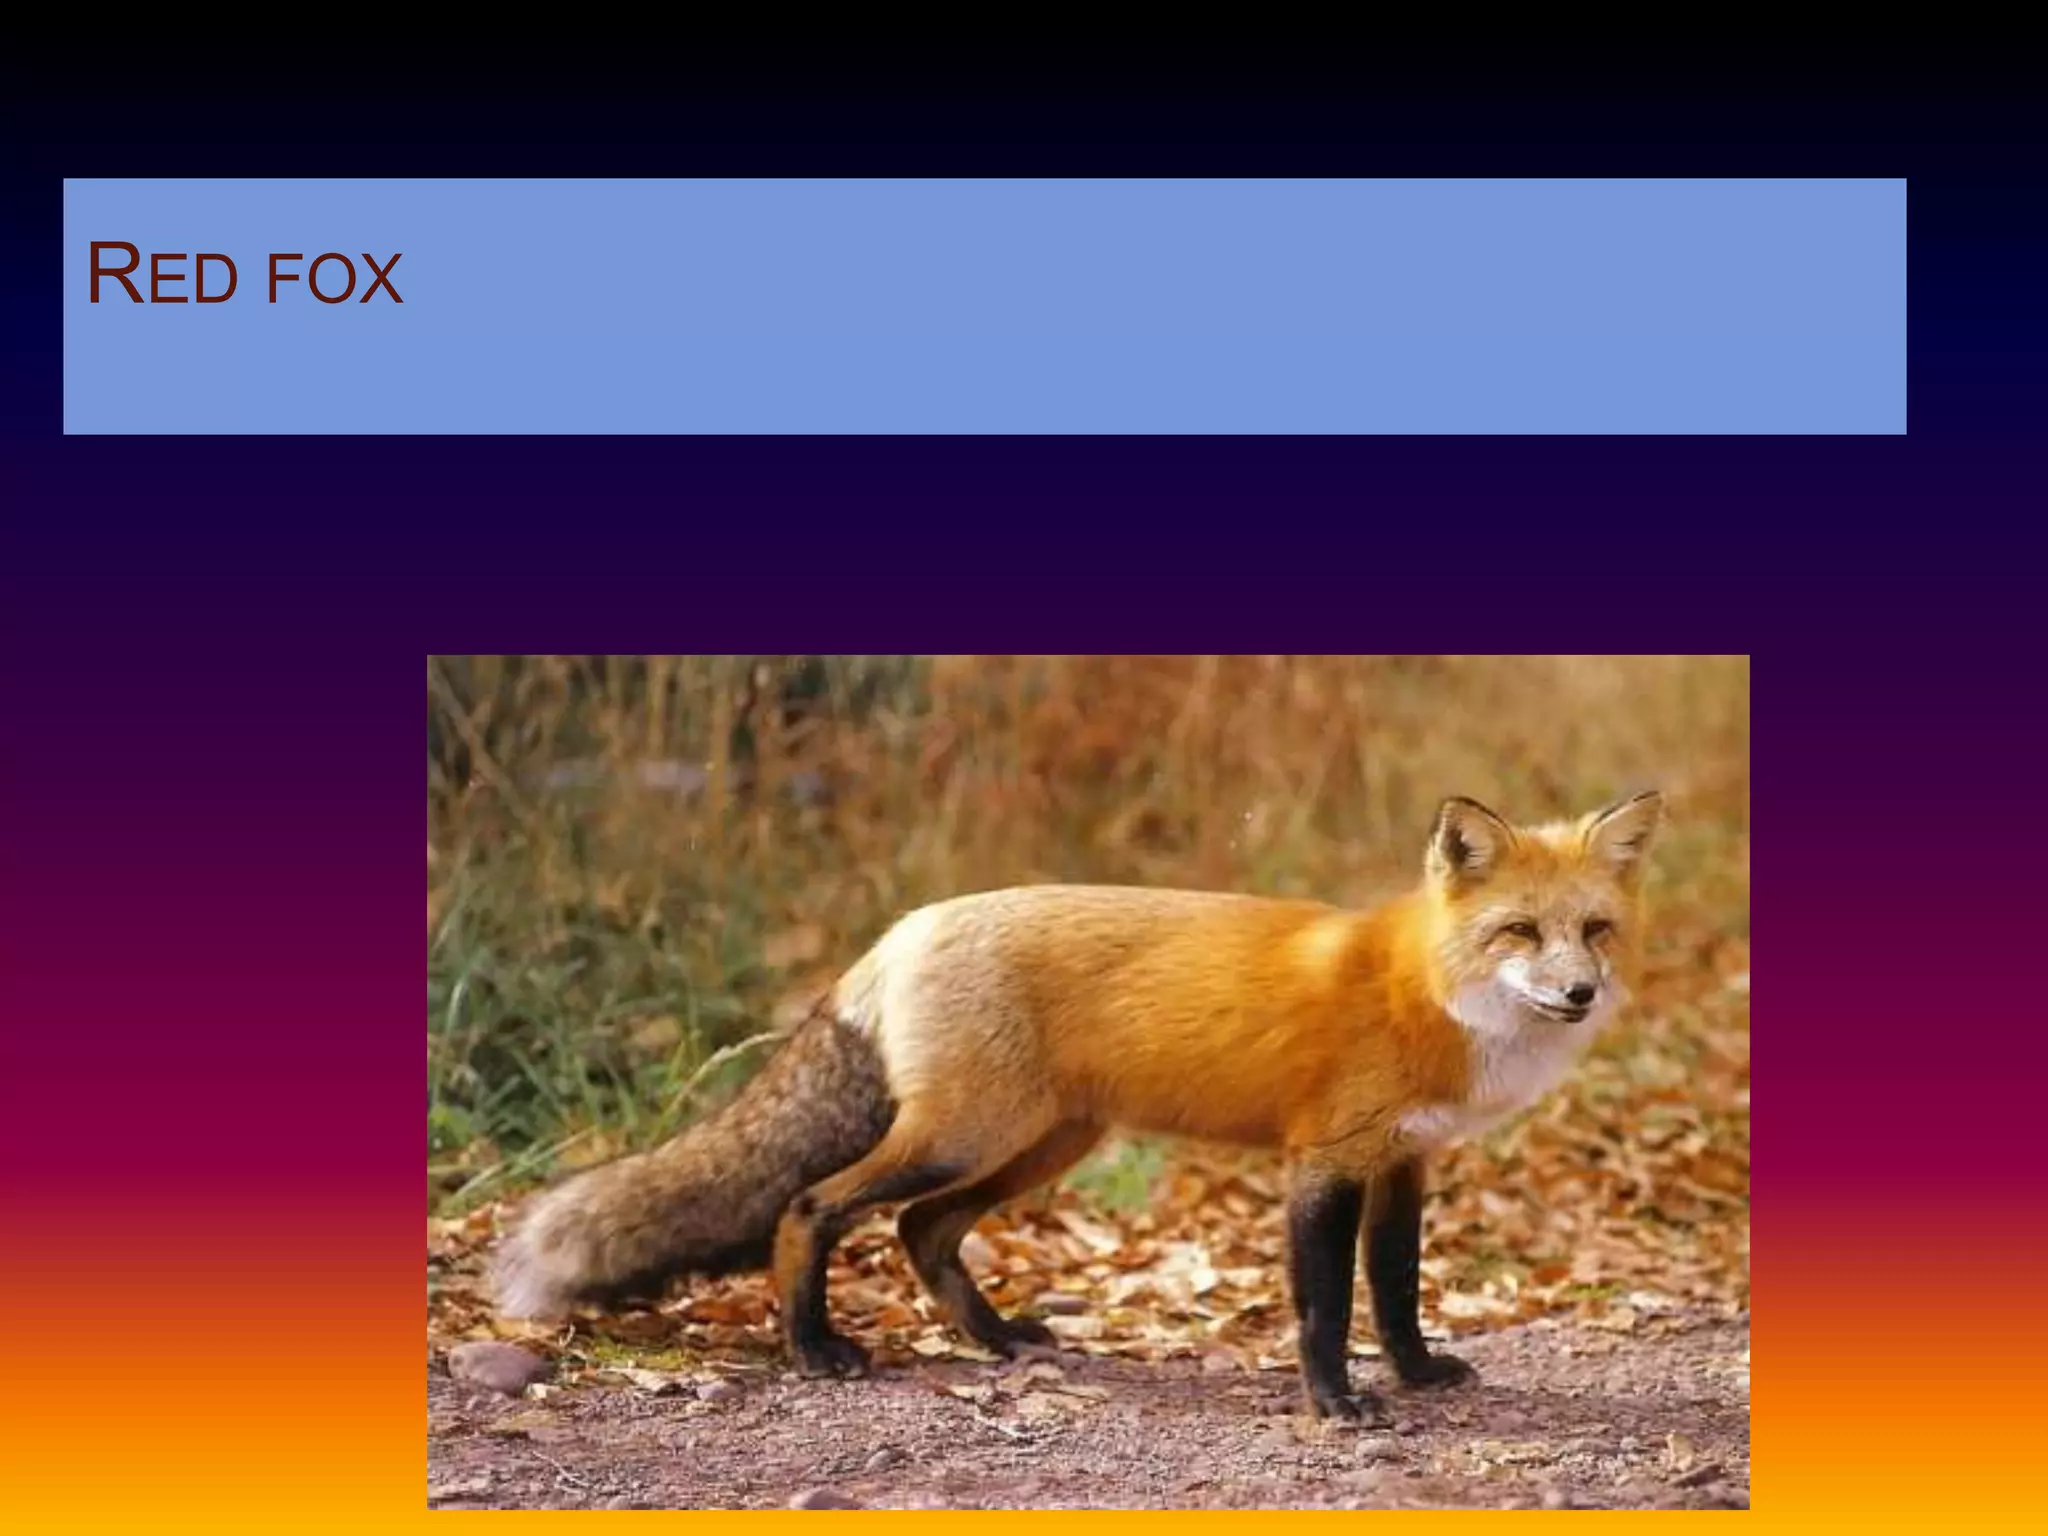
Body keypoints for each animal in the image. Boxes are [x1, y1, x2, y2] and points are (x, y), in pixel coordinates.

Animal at [494, 791, 1662, 1420]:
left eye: (1594, 931)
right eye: (1519, 932)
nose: (1578, 993)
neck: (1420, 990)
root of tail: (905, 926)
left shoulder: (1403, 1164)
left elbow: (1397, 1291)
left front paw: (1415, 1377)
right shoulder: (1324, 1163)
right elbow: (1328, 1307)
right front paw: (1335, 1406)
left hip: (1038, 1146)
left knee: (922, 1231)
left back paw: (1000, 1341)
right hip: (968, 1137)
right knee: (813, 1206)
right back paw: (815, 1349)